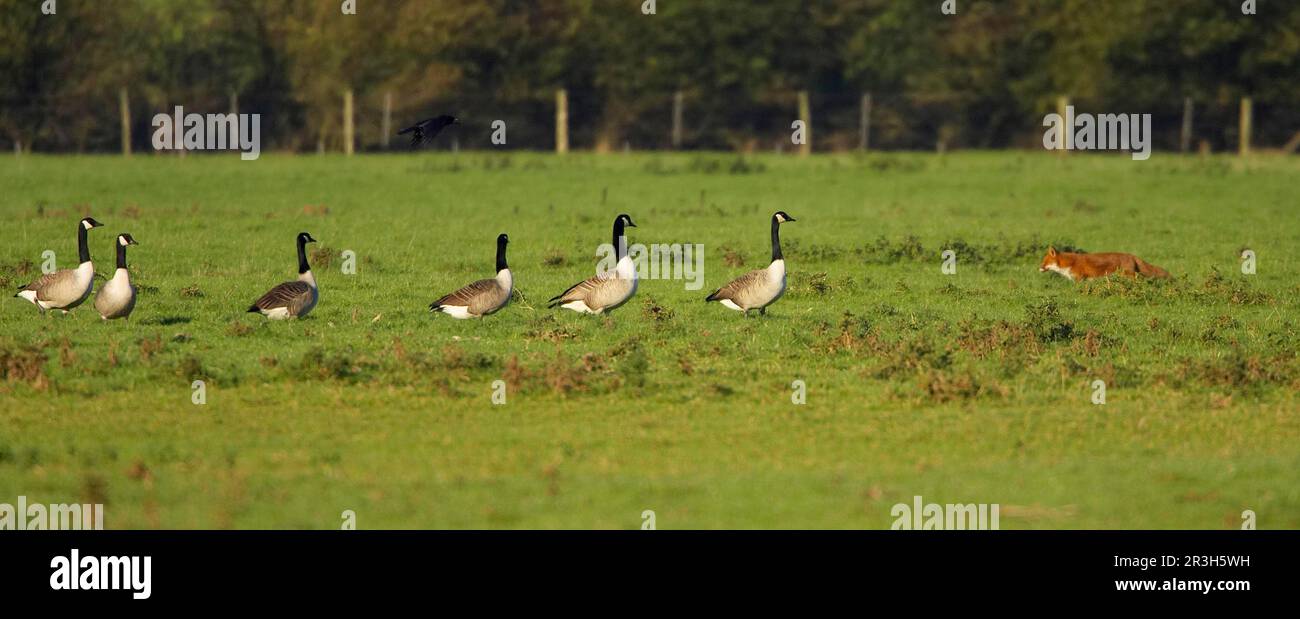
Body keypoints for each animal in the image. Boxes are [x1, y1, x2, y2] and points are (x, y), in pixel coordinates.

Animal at [1039, 246, 1170, 281]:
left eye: (1044, 262)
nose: (1039, 268)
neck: (1069, 263)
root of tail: (1131, 255)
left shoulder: (1080, 278)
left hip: (1128, 275)